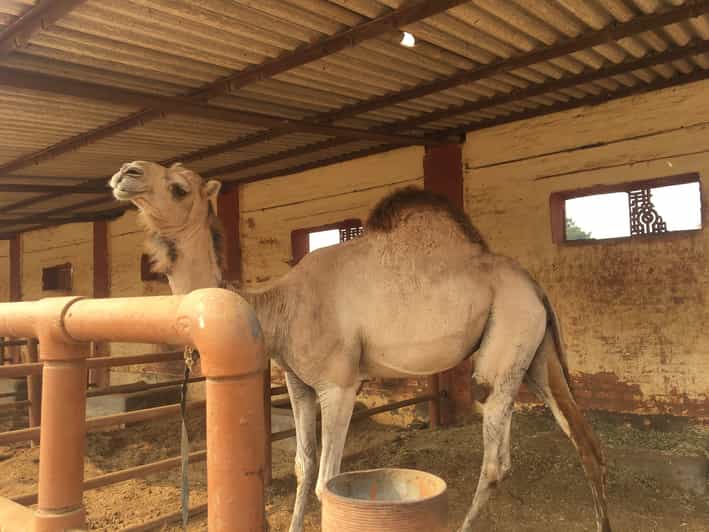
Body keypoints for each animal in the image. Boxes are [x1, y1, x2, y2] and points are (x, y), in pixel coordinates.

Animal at [110, 161, 612, 532]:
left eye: (179, 187)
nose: (125, 172)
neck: (278, 307)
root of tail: (535, 286)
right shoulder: (298, 384)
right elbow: (302, 467)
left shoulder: (339, 384)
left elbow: (327, 482)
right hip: (537, 353)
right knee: (582, 439)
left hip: (507, 343)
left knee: (495, 457)